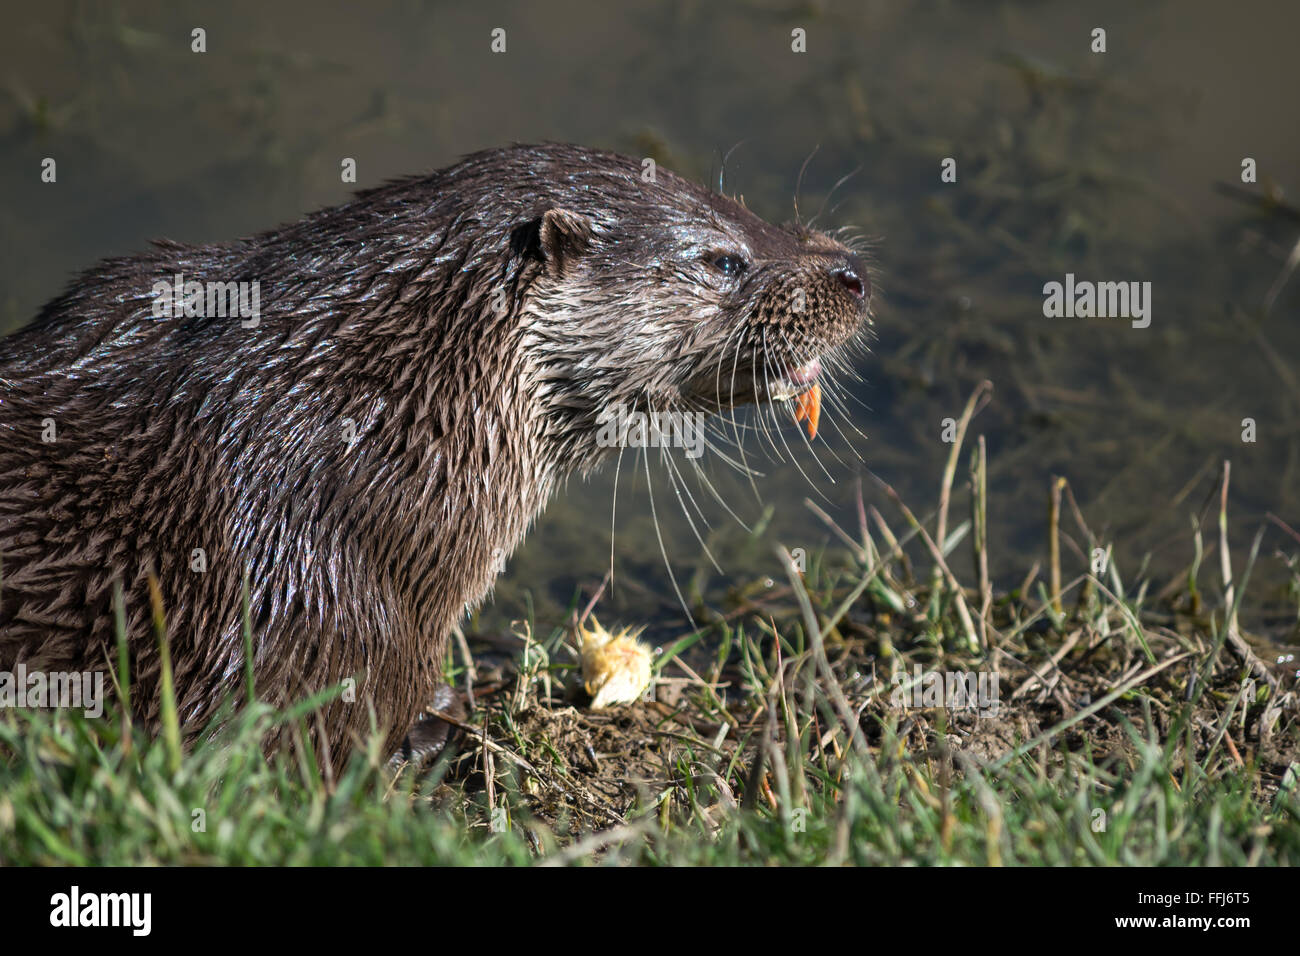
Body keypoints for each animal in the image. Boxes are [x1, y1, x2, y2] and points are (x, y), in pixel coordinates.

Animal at [0, 143, 870, 760]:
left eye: (744, 208)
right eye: (721, 258)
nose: (852, 272)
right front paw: (432, 725)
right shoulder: (303, 606)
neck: (380, 419)